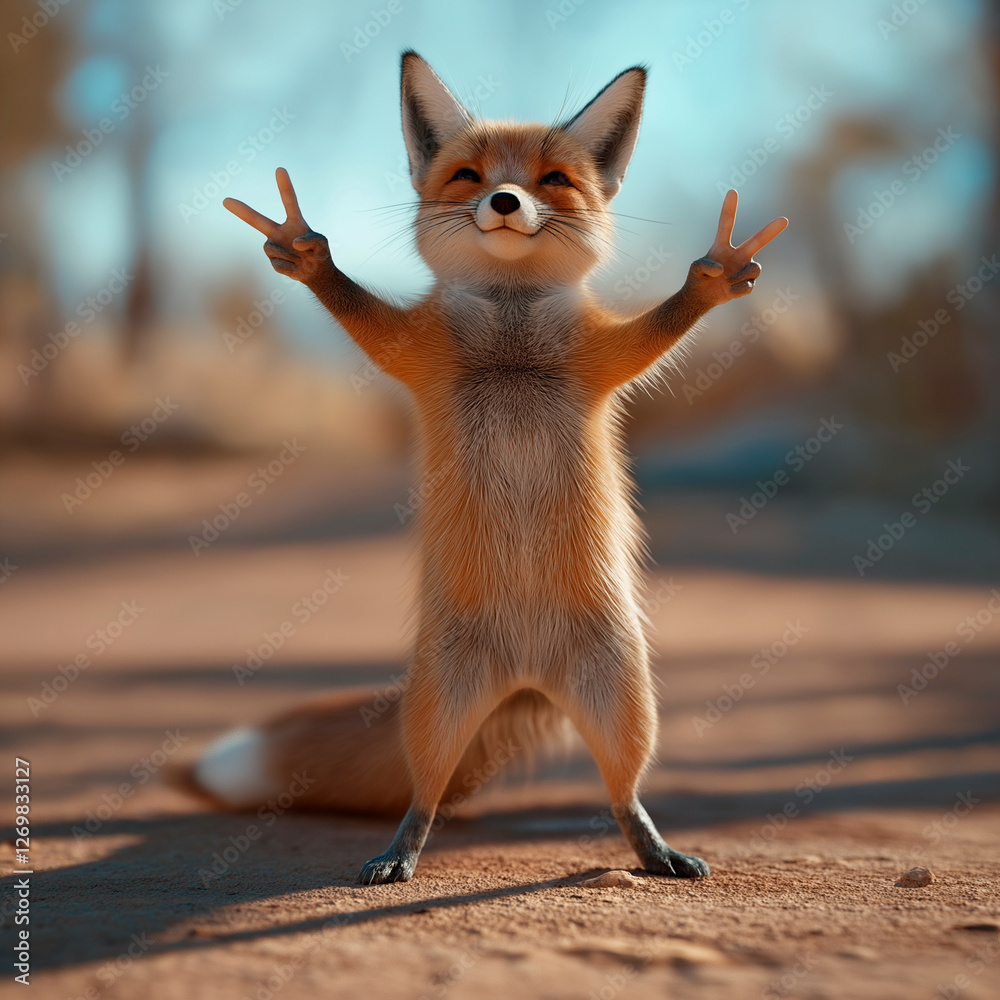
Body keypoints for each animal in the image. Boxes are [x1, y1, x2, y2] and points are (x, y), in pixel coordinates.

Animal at [180, 51, 787, 884]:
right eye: (469, 175)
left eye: (552, 180)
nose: (504, 200)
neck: (511, 332)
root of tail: (528, 678)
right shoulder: (415, 351)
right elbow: (360, 314)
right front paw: (307, 256)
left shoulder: (605, 357)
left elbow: (660, 330)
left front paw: (713, 278)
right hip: (438, 713)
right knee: (425, 795)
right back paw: (400, 852)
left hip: (627, 703)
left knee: (623, 792)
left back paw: (652, 848)